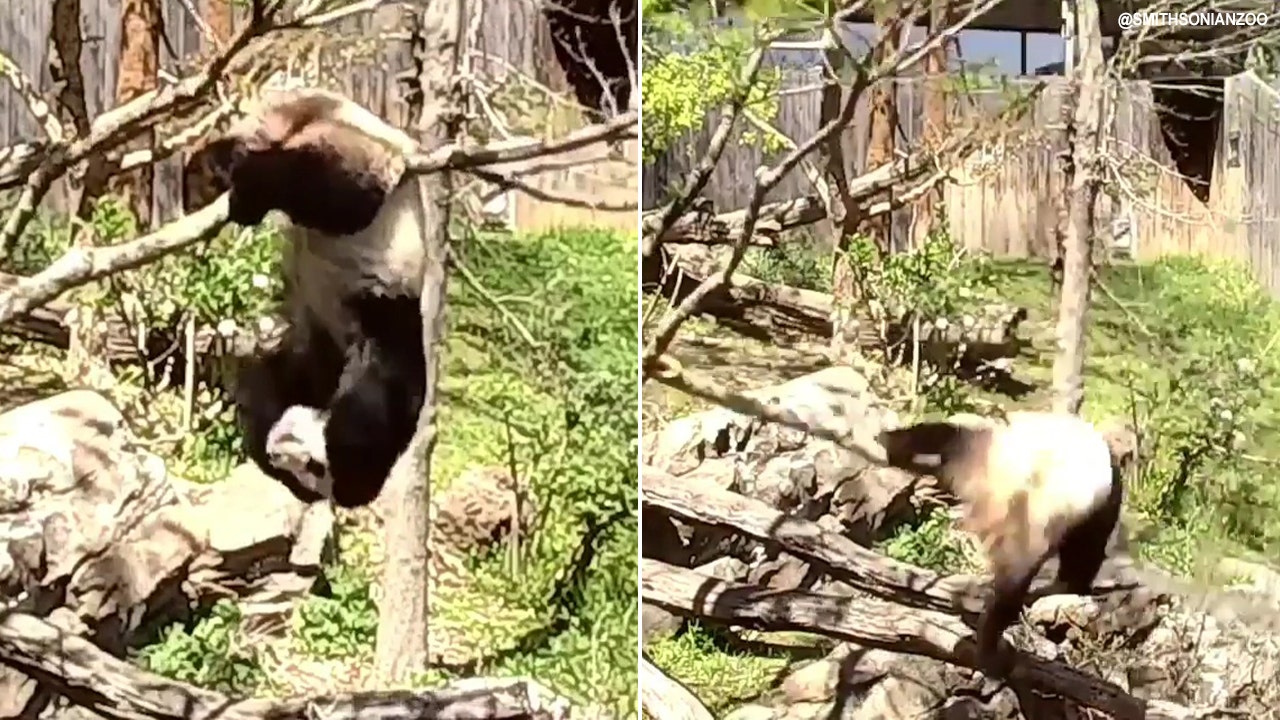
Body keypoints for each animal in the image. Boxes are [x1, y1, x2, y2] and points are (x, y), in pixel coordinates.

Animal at [181, 88, 431, 508]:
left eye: (310, 471)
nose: (283, 453)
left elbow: (266, 385)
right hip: (368, 159)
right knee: (333, 185)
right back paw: (239, 185)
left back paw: (214, 170)